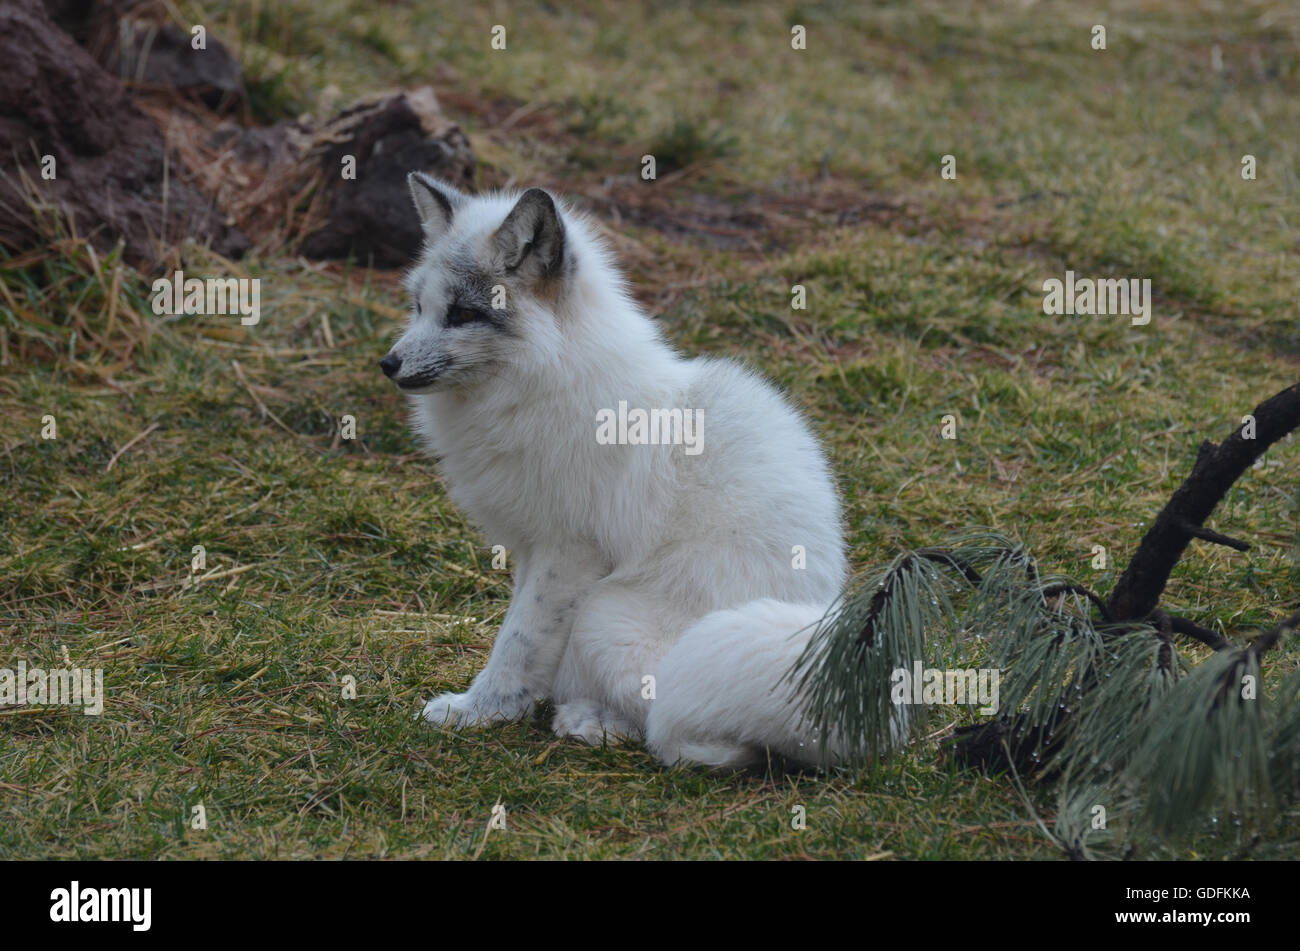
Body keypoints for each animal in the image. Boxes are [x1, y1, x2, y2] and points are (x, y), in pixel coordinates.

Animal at [381, 172, 850, 769]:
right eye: (418, 307)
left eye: (463, 313)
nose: (388, 364)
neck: (542, 383)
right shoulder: (532, 549)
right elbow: (525, 635)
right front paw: (512, 705)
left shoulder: (569, 552)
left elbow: (517, 641)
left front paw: (480, 712)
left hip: (605, 613)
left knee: (700, 740)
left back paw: (594, 722)